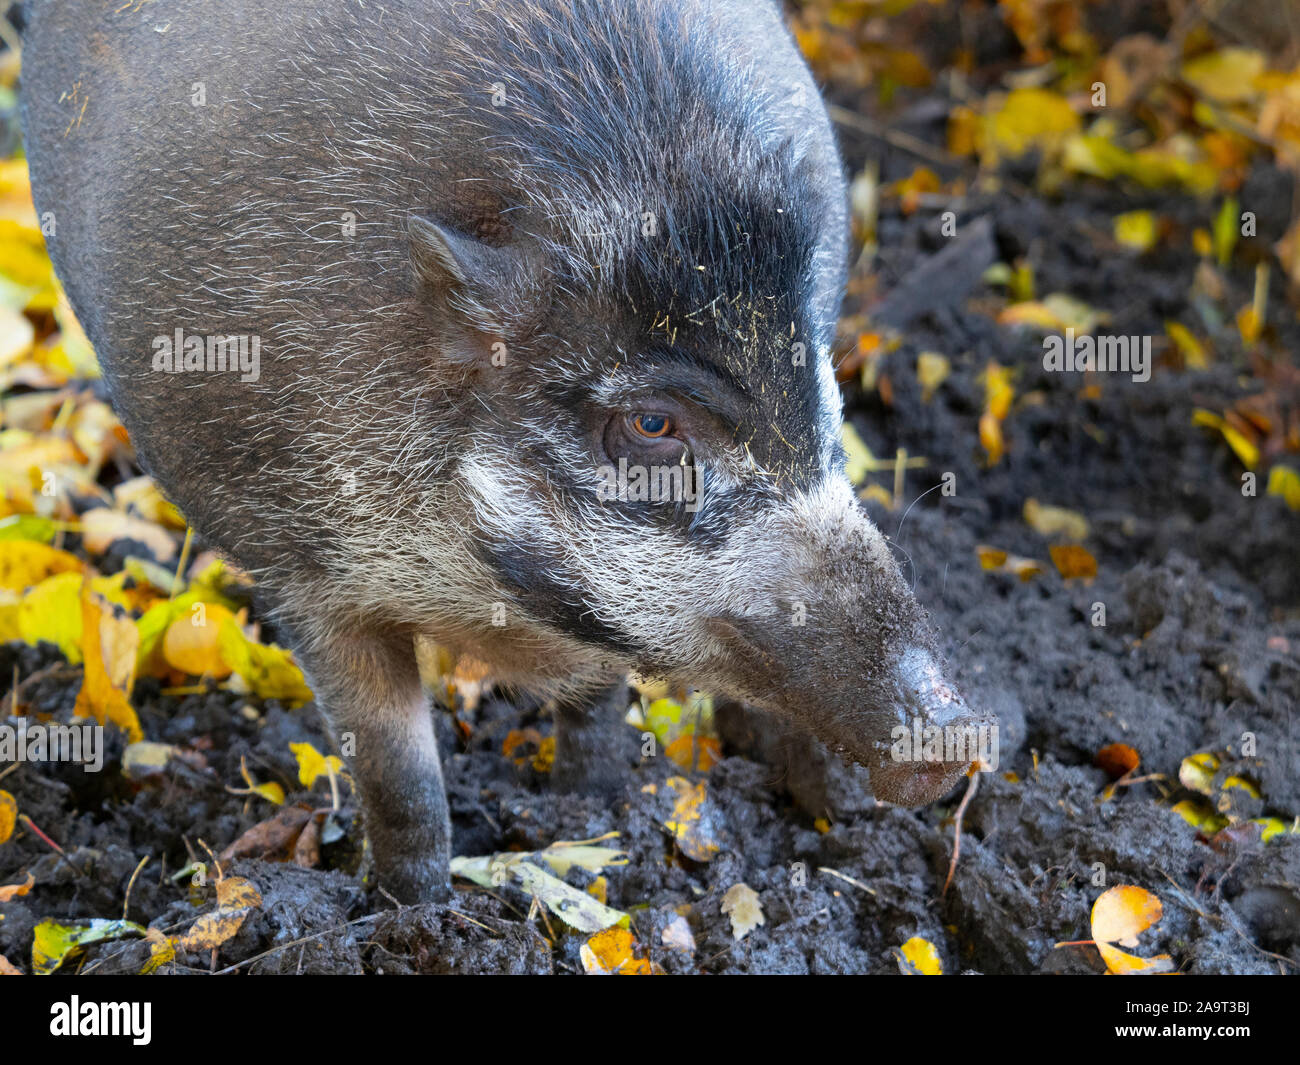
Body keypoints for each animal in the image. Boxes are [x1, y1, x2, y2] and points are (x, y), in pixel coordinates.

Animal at [21, 0, 993, 903]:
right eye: (652, 425)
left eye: (819, 380)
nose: (959, 734)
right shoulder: (295, 563)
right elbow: (397, 769)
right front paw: (410, 911)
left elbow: (599, 697)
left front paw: (593, 815)